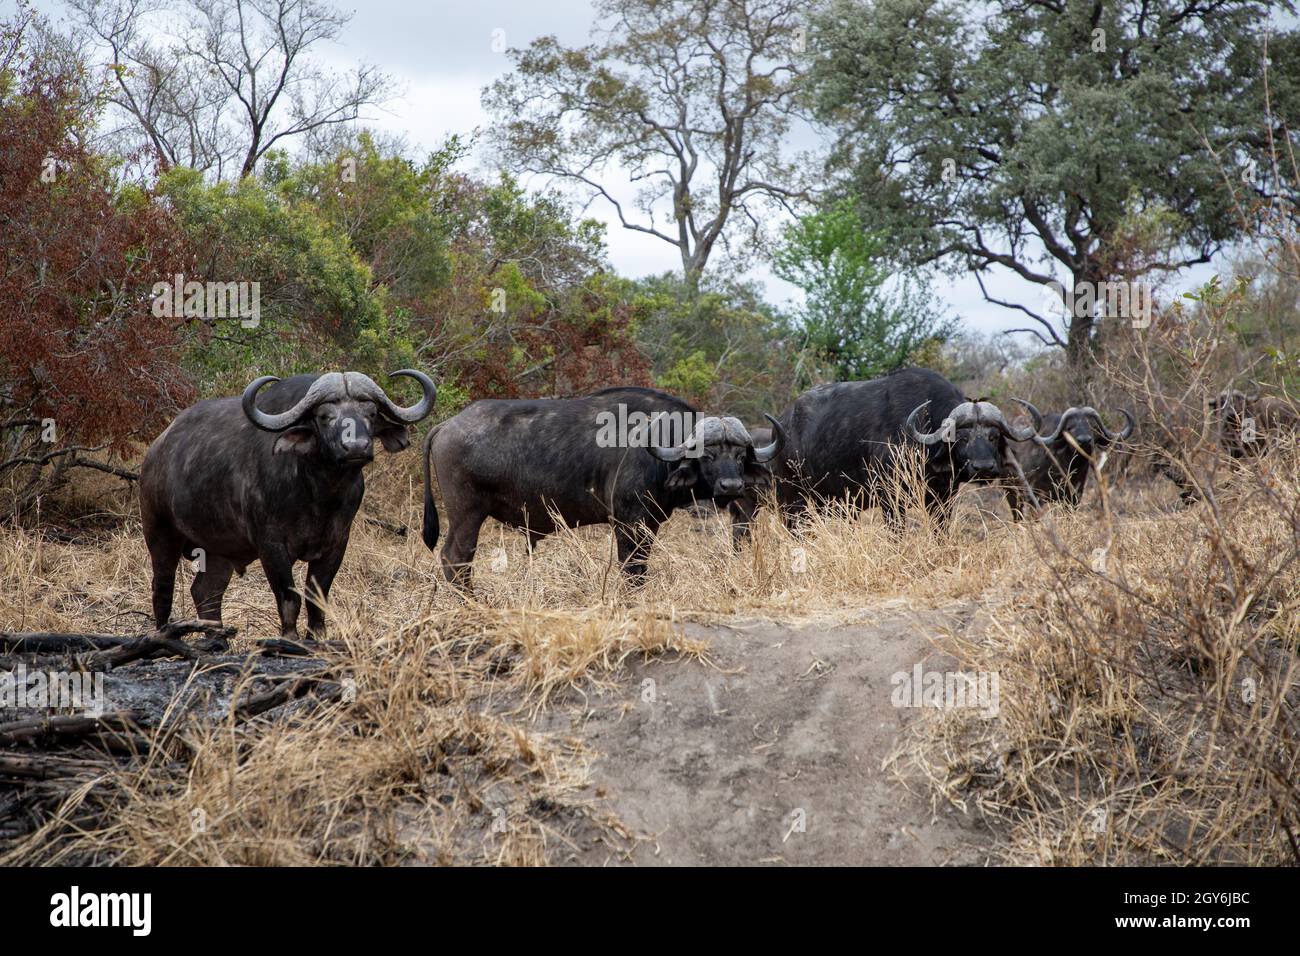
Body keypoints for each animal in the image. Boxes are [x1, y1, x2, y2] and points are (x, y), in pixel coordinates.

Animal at [140, 370, 436, 640]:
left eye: (371, 413)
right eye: (324, 417)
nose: (356, 447)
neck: (319, 494)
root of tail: (156, 451)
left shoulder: (337, 542)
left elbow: (317, 595)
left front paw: (317, 636)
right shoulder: (272, 546)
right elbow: (288, 596)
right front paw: (290, 638)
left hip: (219, 549)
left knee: (206, 590)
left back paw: (216, 639)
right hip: (160, 533)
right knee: (162, 586)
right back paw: (165, 636)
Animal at [422, 386, 783, 588]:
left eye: (740, 455)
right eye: (707, 454)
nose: (731, 486)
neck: (658, 443)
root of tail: (448, 424)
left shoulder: (649, 524)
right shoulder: (628, 523)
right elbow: (633, 570)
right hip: (467, 513)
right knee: (455, 558)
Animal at [1004, 406, 1135, 518]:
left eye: (1093, 427)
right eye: (1070, 427)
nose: (1084, 440)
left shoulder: (1074, 497)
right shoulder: (1035, 496)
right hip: (1011, 491)